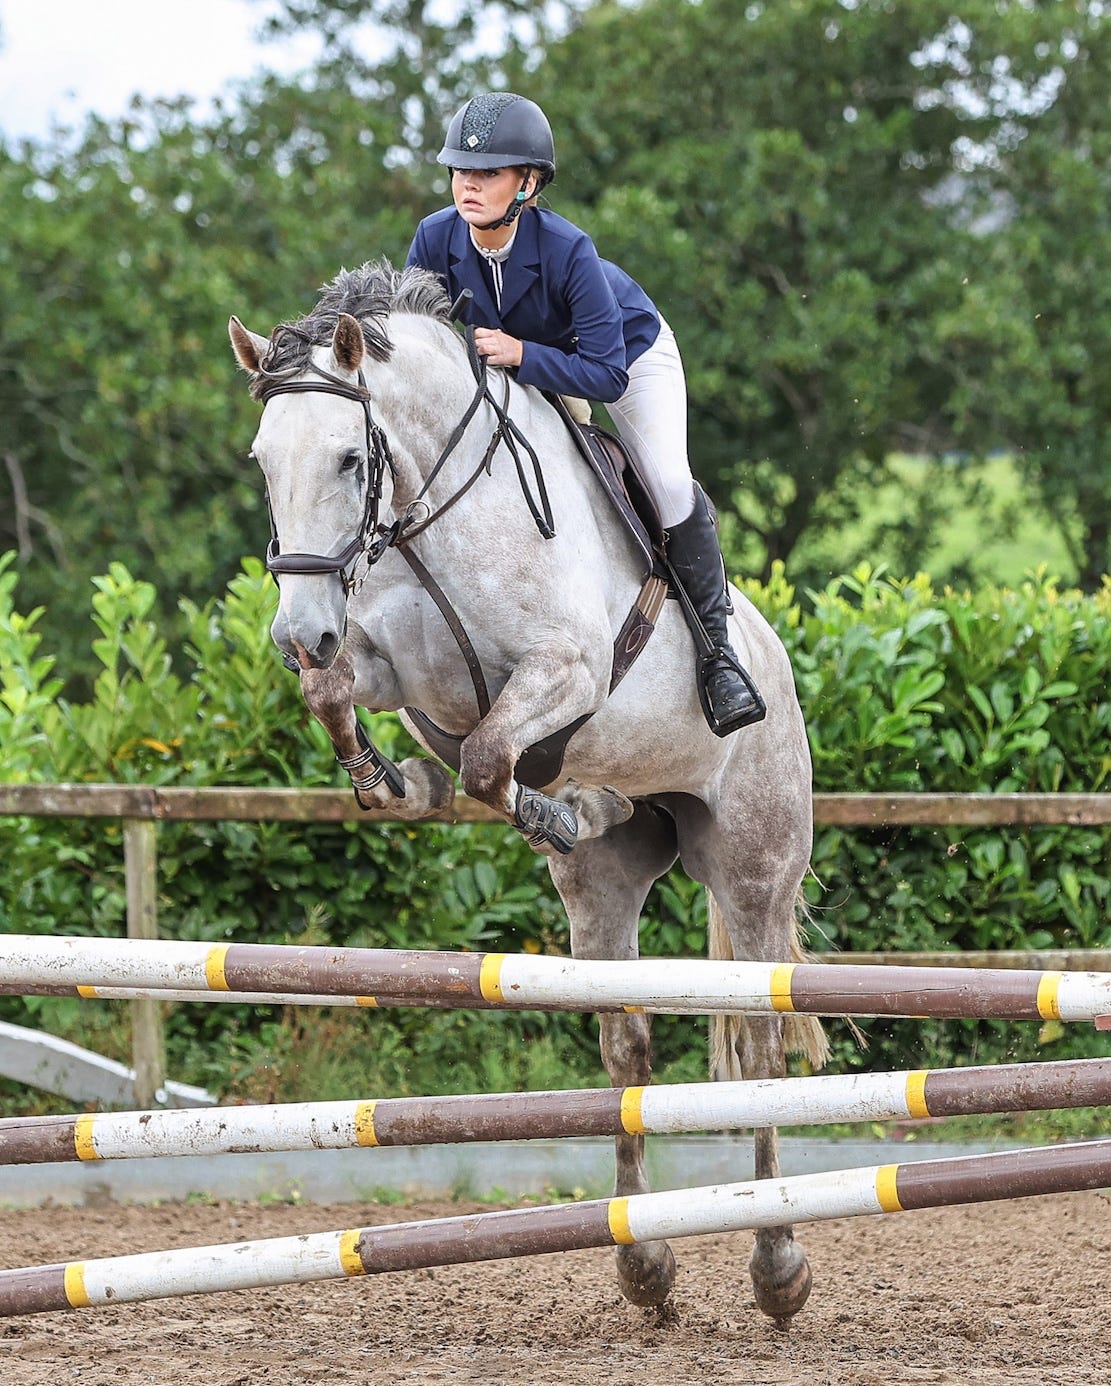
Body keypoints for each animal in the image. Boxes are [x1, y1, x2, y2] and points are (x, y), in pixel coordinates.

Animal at [228, 261, 827, 1324]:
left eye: (347, 459)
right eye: (263, 461)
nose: (298, 631)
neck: (436, 510)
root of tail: (775, 662)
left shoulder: (565, 672)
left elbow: (486, 762)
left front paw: (545, 801)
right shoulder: (391, 667)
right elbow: (344, 701)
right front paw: (396, 781)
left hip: (752, 868)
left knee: (758, 1049)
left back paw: (777, 1266)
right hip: (604, 891)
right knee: (627, 1049)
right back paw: (644, 1266)